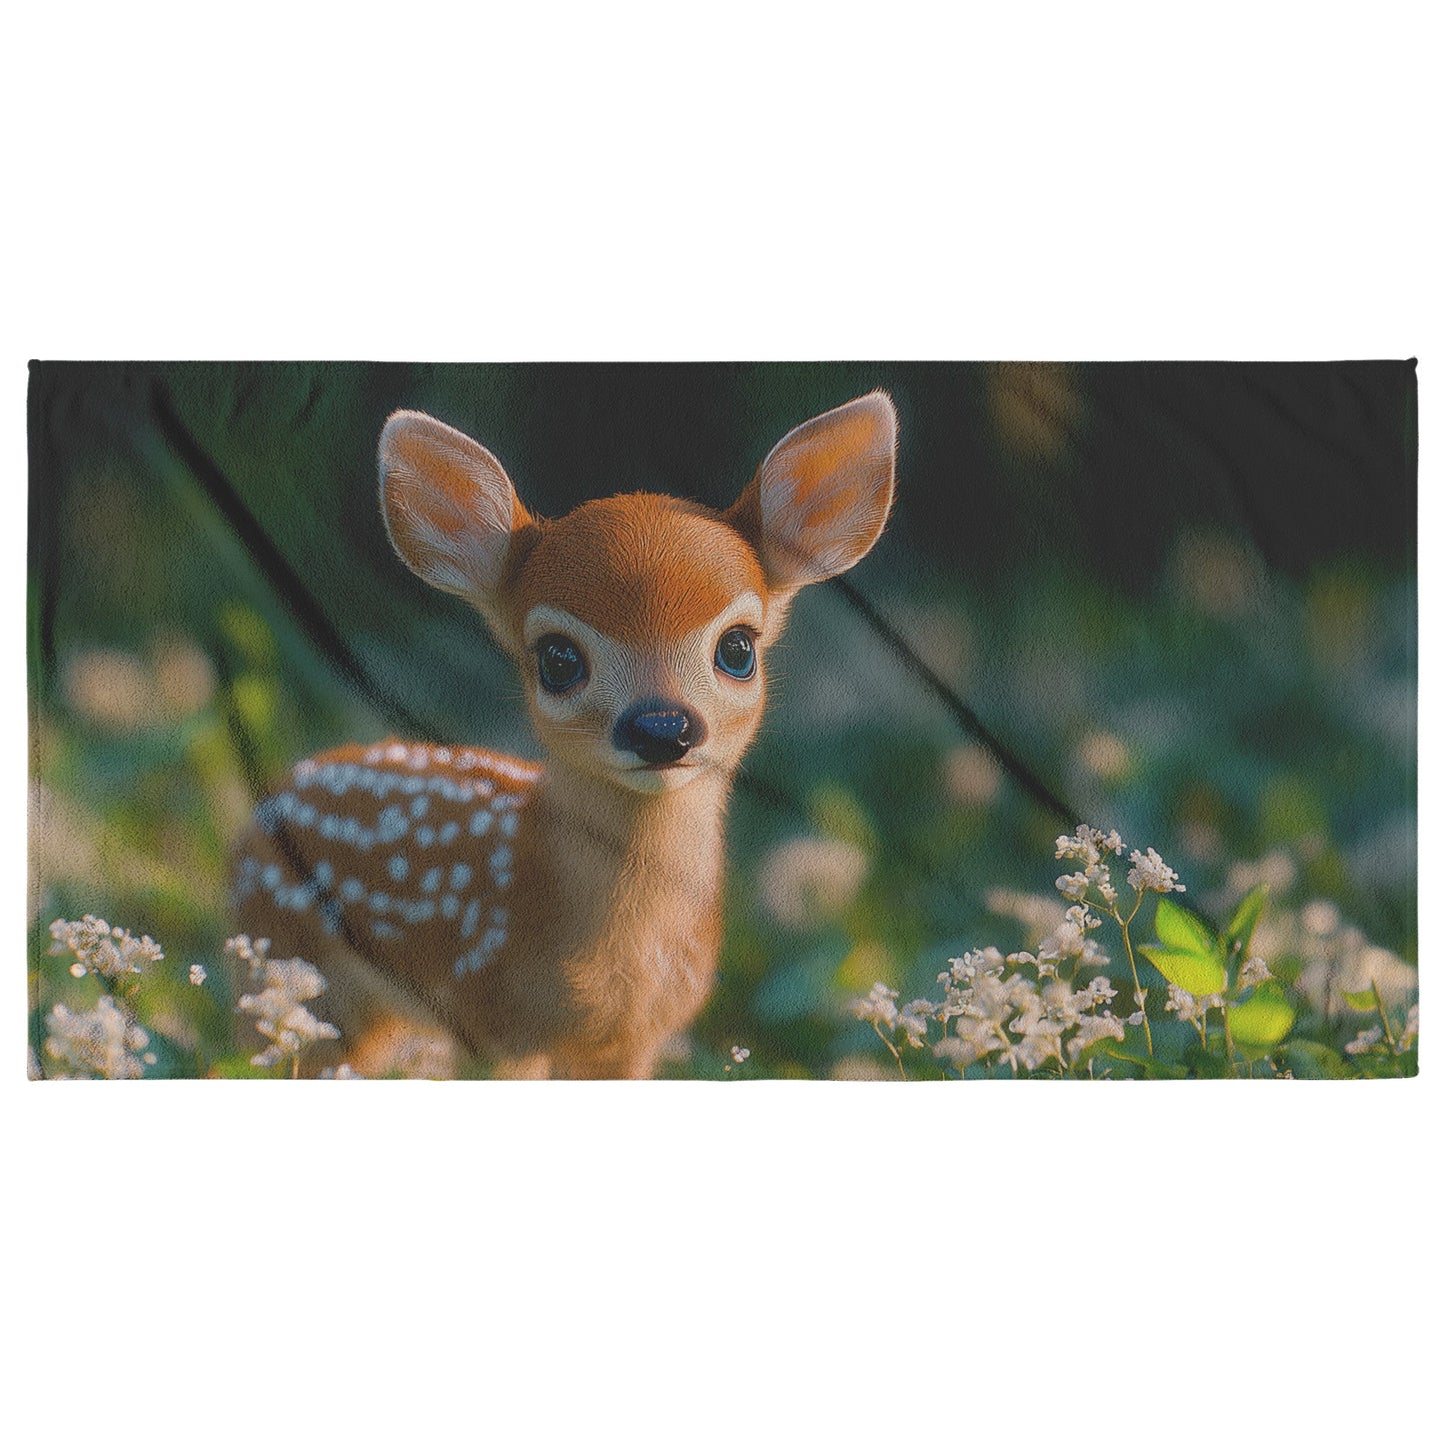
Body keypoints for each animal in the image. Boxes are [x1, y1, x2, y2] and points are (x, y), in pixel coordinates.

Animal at [230, 391, 898, 1078]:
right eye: (558, 658)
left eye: (738, 648)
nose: (662, 727)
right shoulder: (494, 1021)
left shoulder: (633, 1040)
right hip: (291, 969)